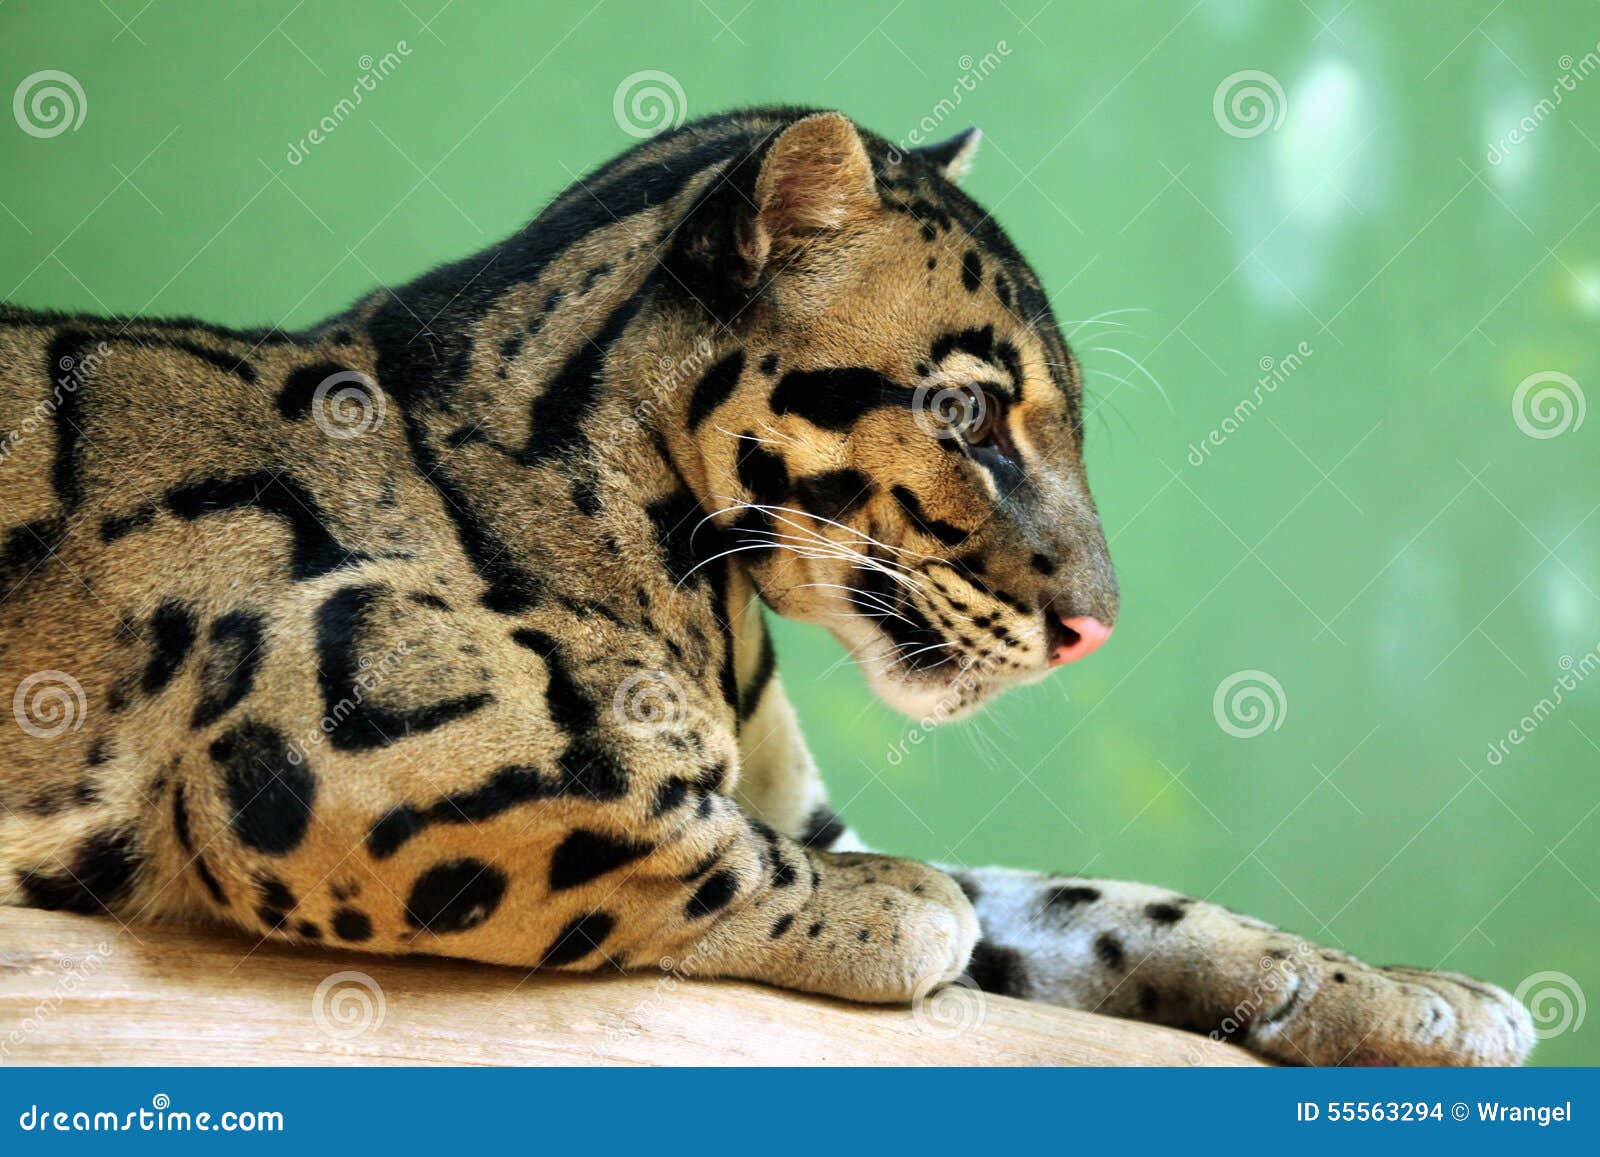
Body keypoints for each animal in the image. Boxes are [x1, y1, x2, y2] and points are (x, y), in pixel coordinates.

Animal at [0, 107, 1534, 1065]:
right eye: (969, 413)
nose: (1095, 626)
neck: (723, 618)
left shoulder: (807, 804)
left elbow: (1089, 898)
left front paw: (1402, 991)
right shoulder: (328, 729)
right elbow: (712, 841)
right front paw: (899, 908)